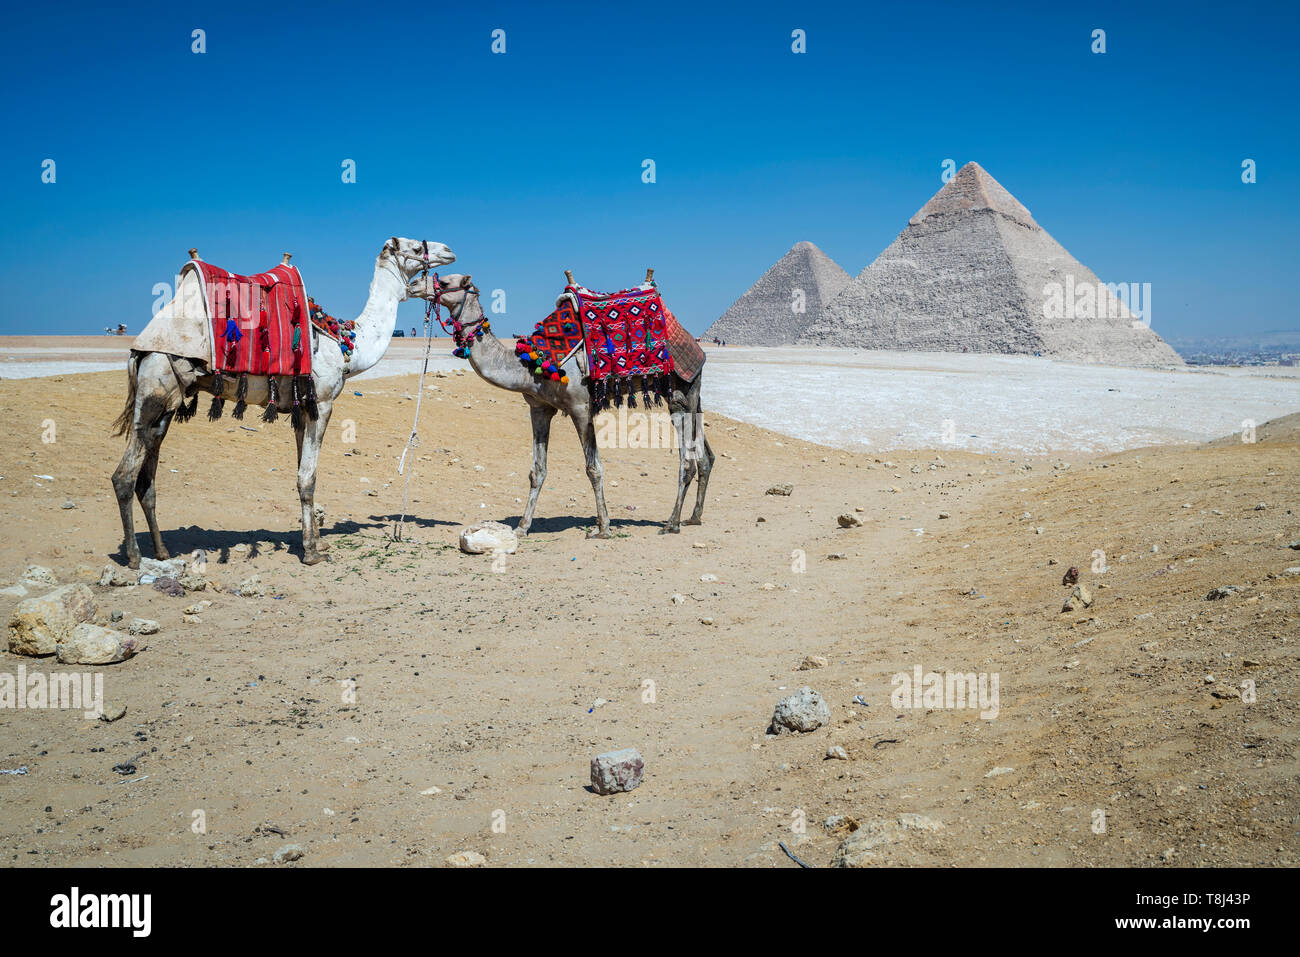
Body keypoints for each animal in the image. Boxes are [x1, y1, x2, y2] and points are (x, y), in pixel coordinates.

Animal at [111, 237, 455, 567]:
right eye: (415, 248)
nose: (449, 251)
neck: (347, 344)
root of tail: (139, 348)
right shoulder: (323, 403)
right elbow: (308, 477)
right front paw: (312, 553)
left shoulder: (302, 409)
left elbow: (302, 474)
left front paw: (316, 541)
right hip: (157, 386)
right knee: (124, 475)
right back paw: (134, 556)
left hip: (167, 402)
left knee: (147, 478)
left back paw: (161, 550)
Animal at [408, 273, 715, 536]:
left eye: (444, 282)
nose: (412, 285)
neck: (529, 366)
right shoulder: (539, 408)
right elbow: (537, 471)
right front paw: (522, 527)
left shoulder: (580, 407)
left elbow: (593, 468)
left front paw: (603, 527)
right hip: (693, 395)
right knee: (705, 456)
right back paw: (694, 517)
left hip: (680, 393)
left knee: (687, 460)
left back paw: (671, 523)